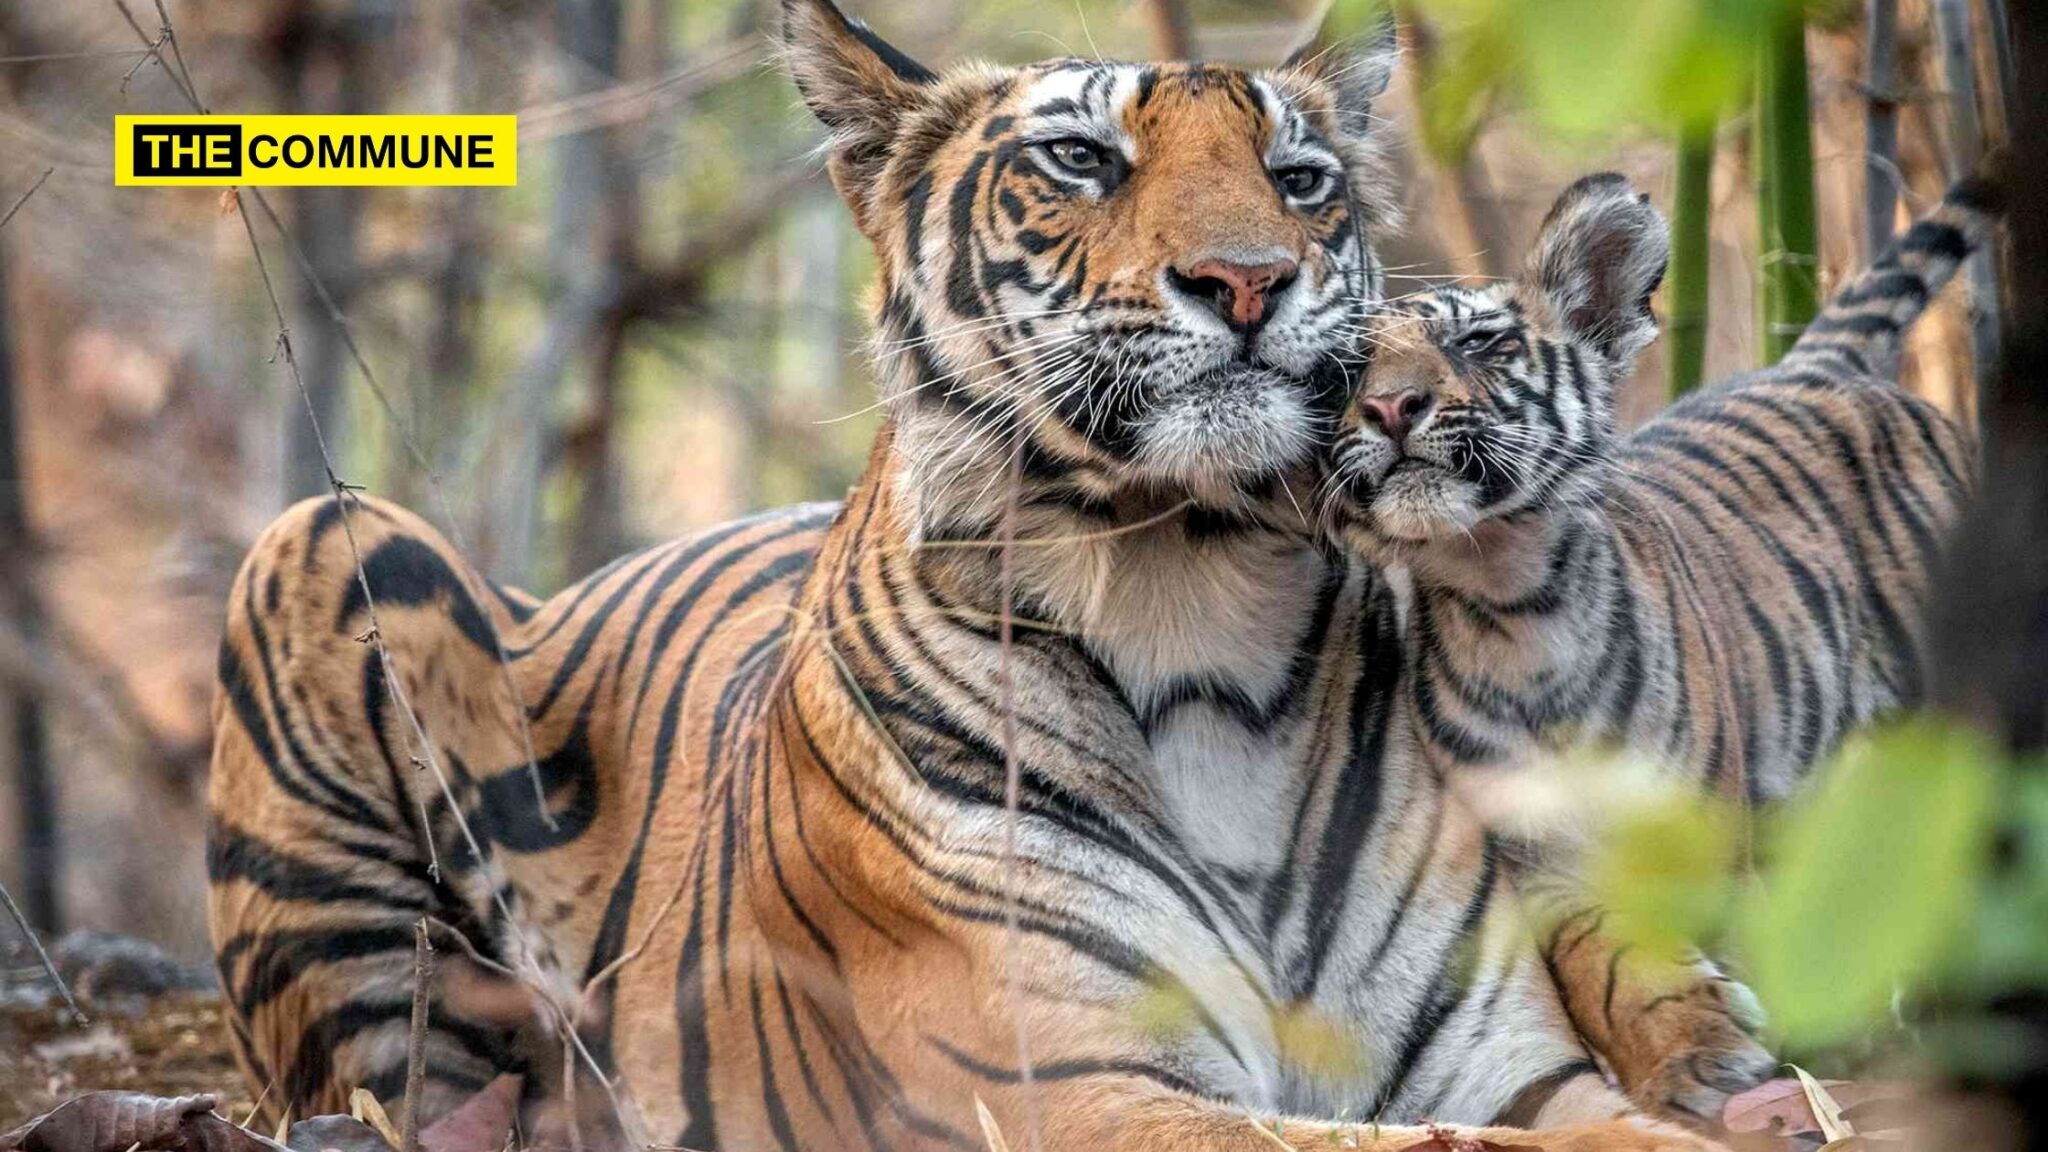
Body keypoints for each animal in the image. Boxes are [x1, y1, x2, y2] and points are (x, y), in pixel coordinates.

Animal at [206, 2, 1732, 1149]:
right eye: (1077, 158)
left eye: (1300, 180)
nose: (1248, 280)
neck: (1199, 602)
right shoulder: (1093, 1089)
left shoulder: (1506, 1066)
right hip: (323, 546)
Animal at [1321, 169, 1999, 1121]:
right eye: (1348, 372)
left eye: (1482, 344)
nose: (1389, 407)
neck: (1509, 602)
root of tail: (1810, 364)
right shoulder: (1530, 849)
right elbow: (1598, 954)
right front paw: (1690, 1052)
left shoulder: (1697, 829)